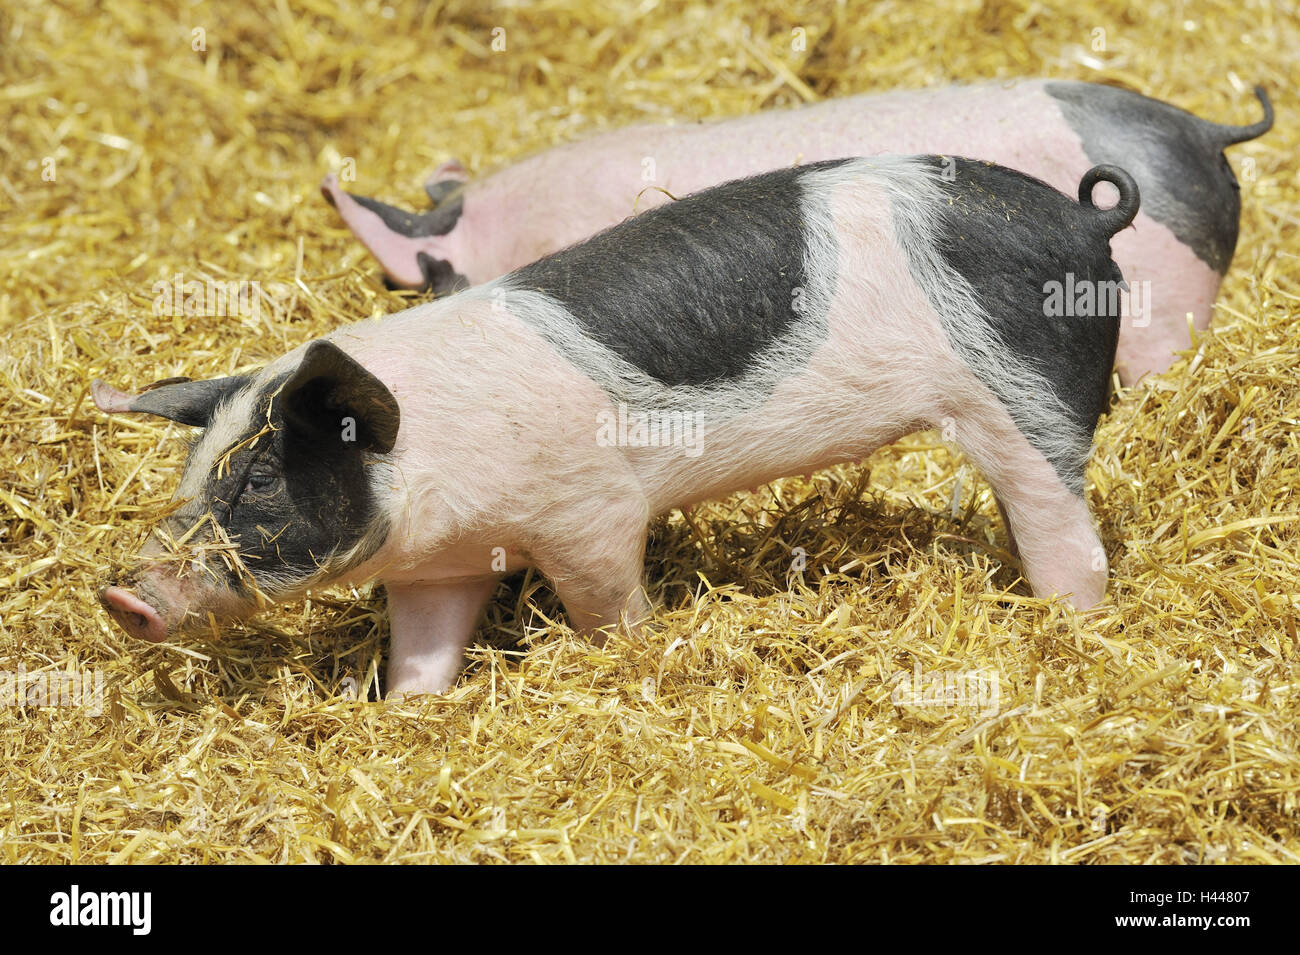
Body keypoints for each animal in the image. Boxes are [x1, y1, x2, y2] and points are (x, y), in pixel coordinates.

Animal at [98, 155, 1137, 696]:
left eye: (261, 478)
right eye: (193, 475)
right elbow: (423, 652)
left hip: (1028, 393)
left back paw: (1069, 623)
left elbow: (608, 606)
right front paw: (407, 714)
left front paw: (627, 658)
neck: (435, 464)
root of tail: (1087, 223)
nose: (122, 595)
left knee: (1068, 527)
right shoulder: (437, 567)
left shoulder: (587, 512)